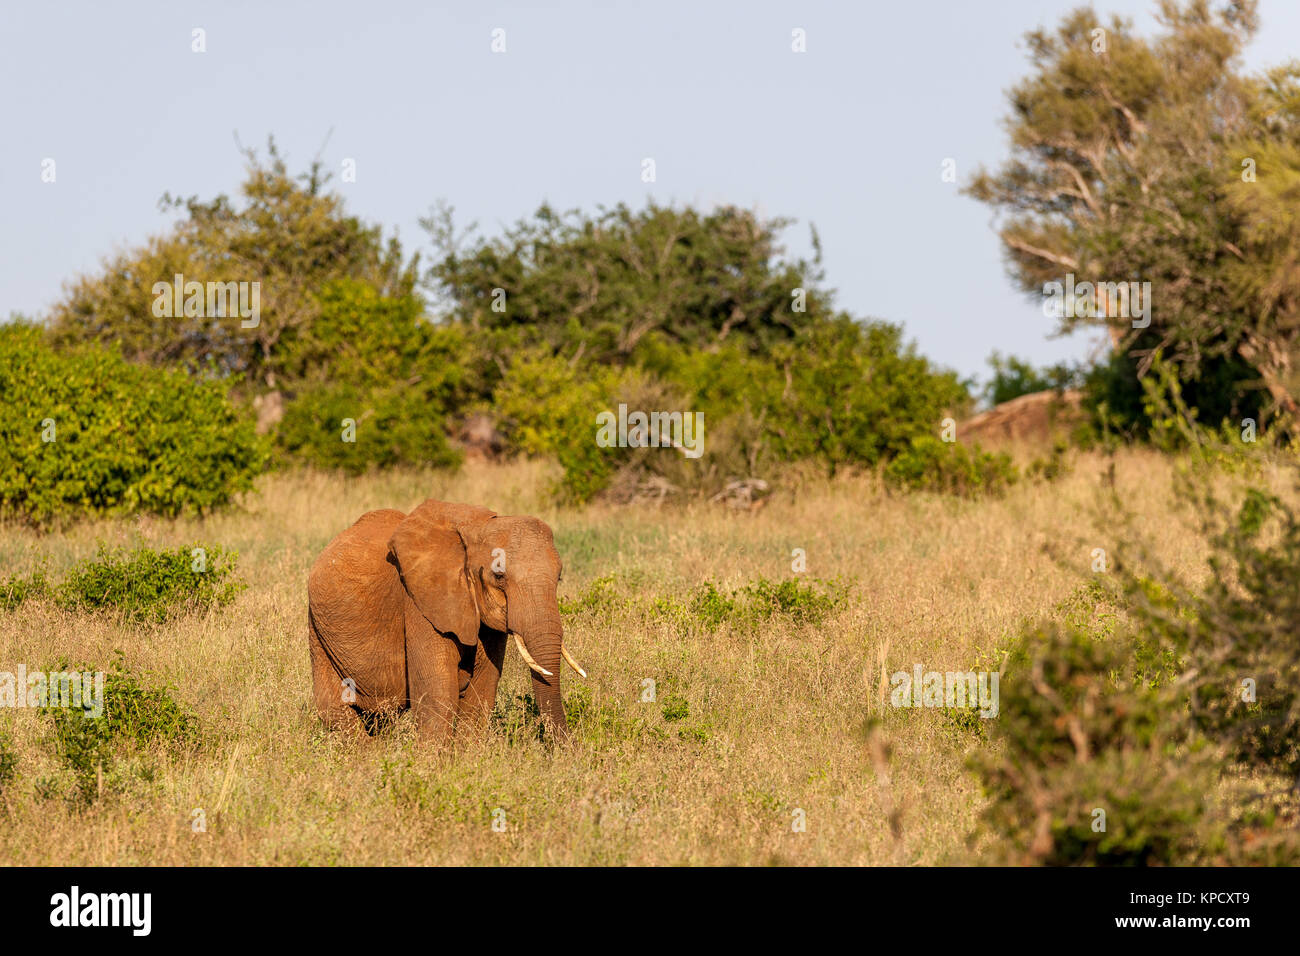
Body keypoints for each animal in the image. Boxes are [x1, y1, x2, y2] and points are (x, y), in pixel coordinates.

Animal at [307, 499, 584, 744]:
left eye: (559, 577)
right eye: (499, 576)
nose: (570, 750)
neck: (477, 529)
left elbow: (481, 691)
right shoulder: (419, 601)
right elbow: (437, 693)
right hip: (318, 630)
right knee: (336, 709)